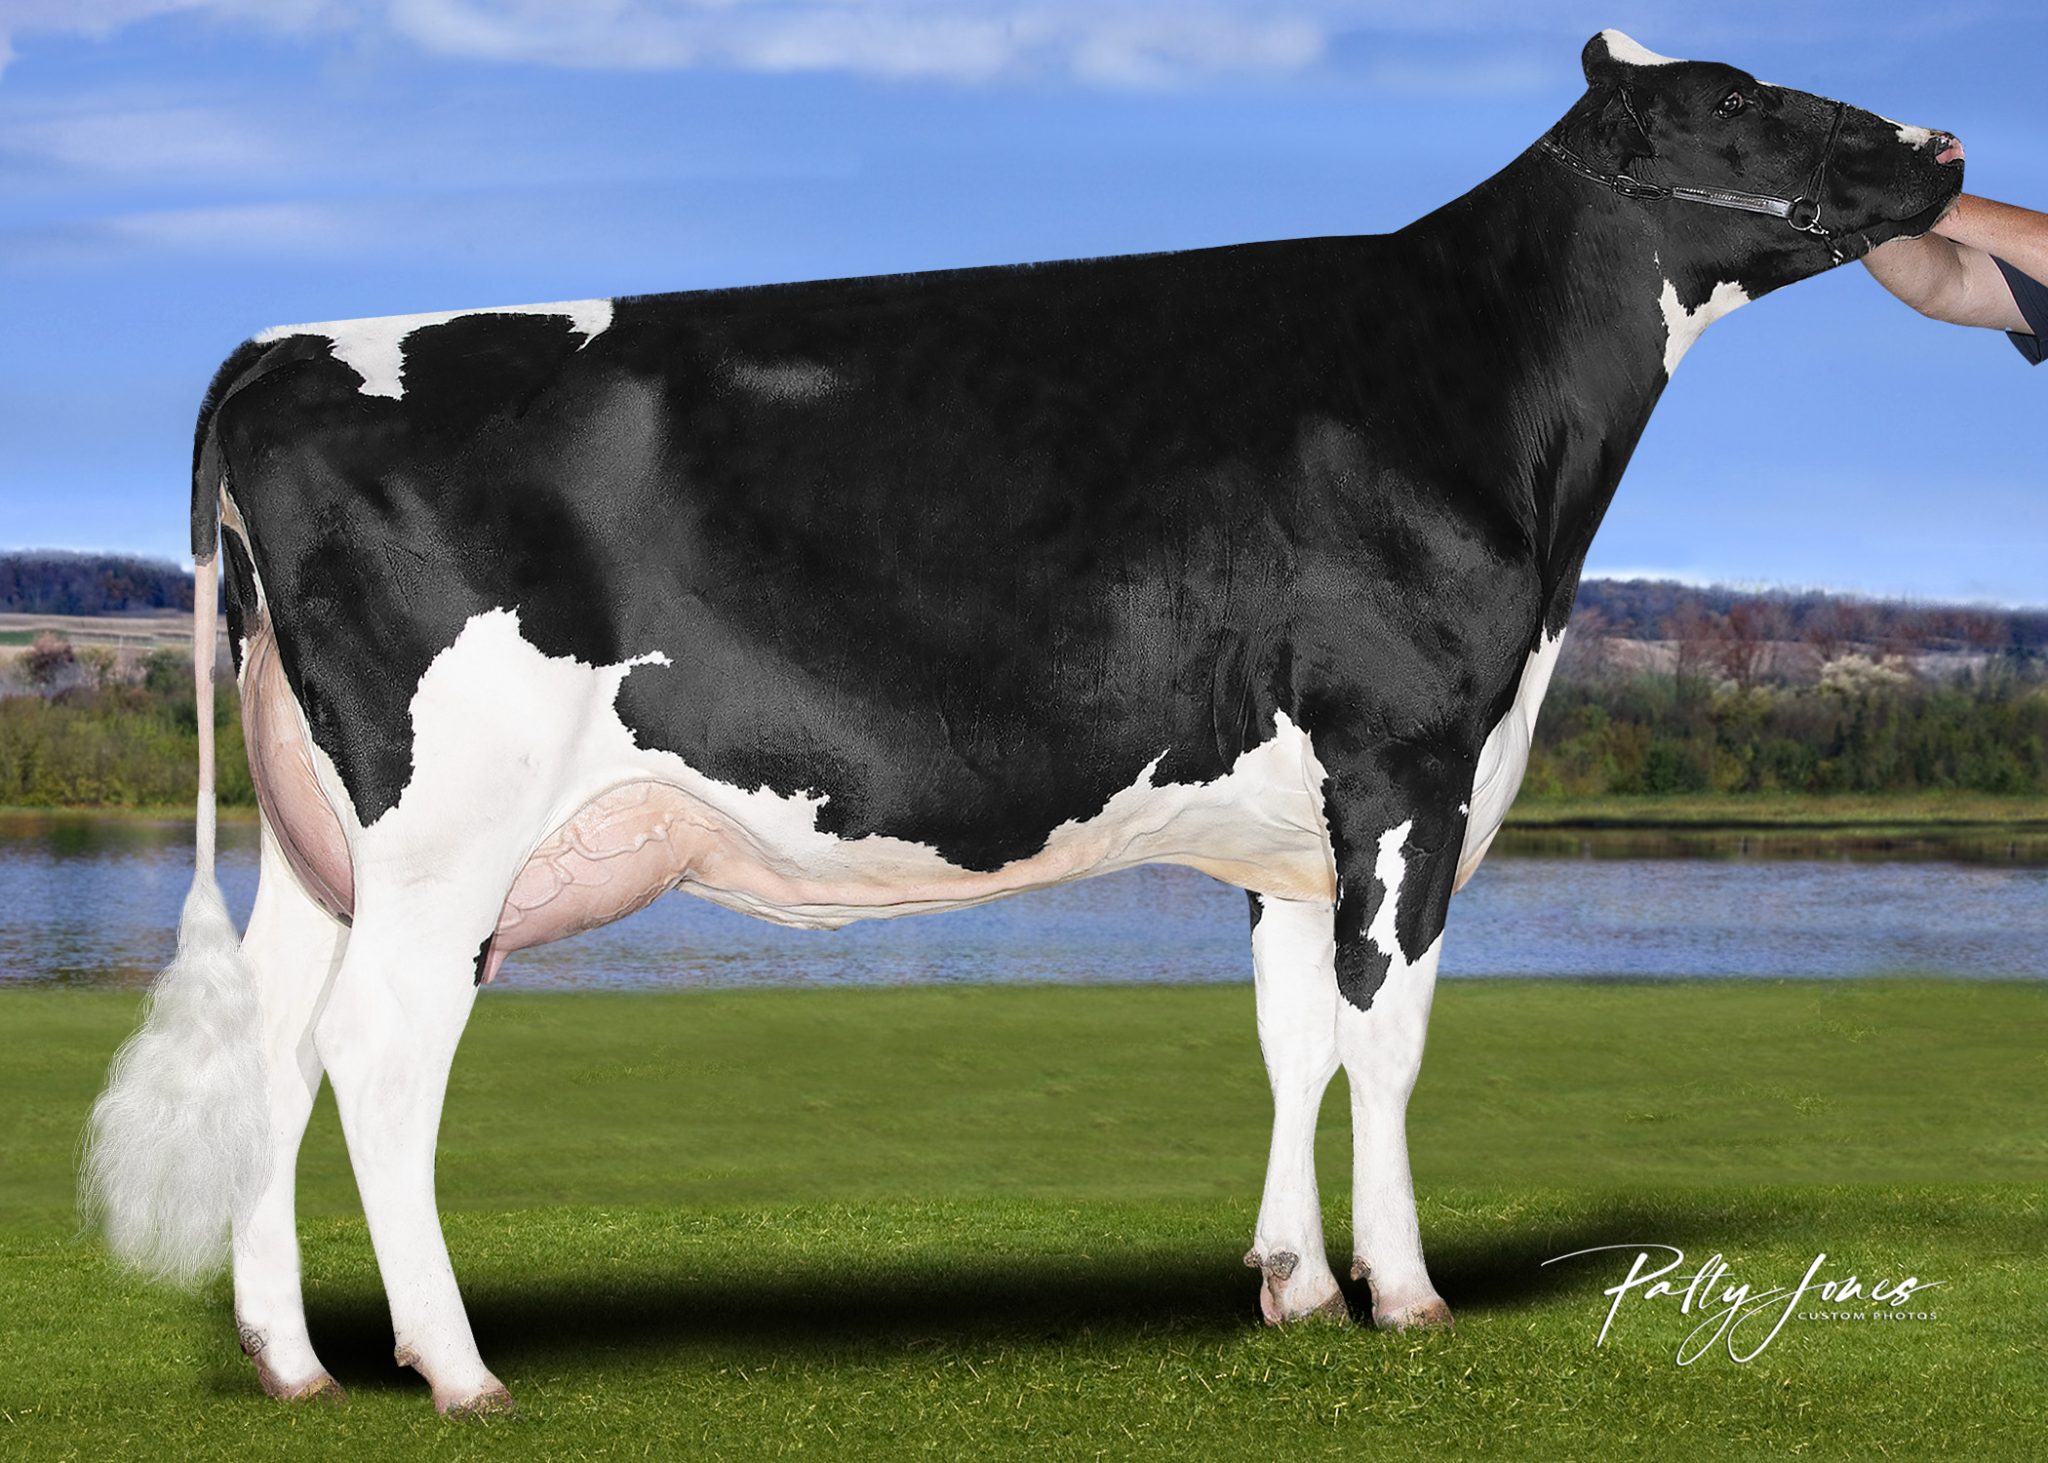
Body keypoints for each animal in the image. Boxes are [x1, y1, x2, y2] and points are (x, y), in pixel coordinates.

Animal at [82, 30, 1962, 1417]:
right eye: (1737, 100)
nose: (1944, 142)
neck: (1477, 393)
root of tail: (282, 347)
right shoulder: (1408, 765)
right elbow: (1386, 1037)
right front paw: (1407, 1291)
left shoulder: (1285, 827)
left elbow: (1290, 1034)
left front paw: (1290, 1282)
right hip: (447, 827)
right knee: (380, 1052)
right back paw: (457, 1366)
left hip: (319, 838)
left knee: (276, 1040)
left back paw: (293, 1360)